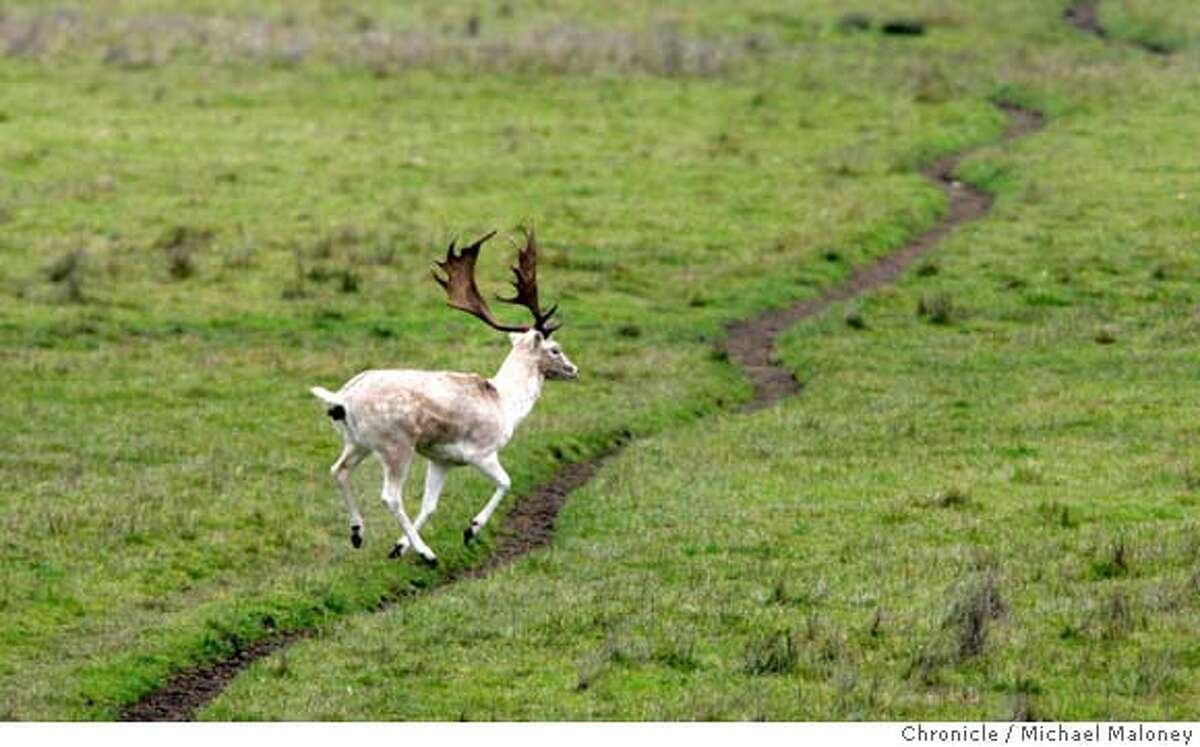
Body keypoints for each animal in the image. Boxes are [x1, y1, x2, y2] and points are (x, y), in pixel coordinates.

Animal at [309, 228, 578, 566]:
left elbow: (430, 504)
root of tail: (342, 398)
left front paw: (398, 547)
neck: (504, 403)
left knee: (338, 470)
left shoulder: (442, 459)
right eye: (555, 349)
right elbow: (507, 482)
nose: (574, 369)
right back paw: (428, 554)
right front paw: (470, 530)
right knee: (389, 496)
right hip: (396, 444)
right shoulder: (482, 452)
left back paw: (358, 534)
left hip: (357, 442)